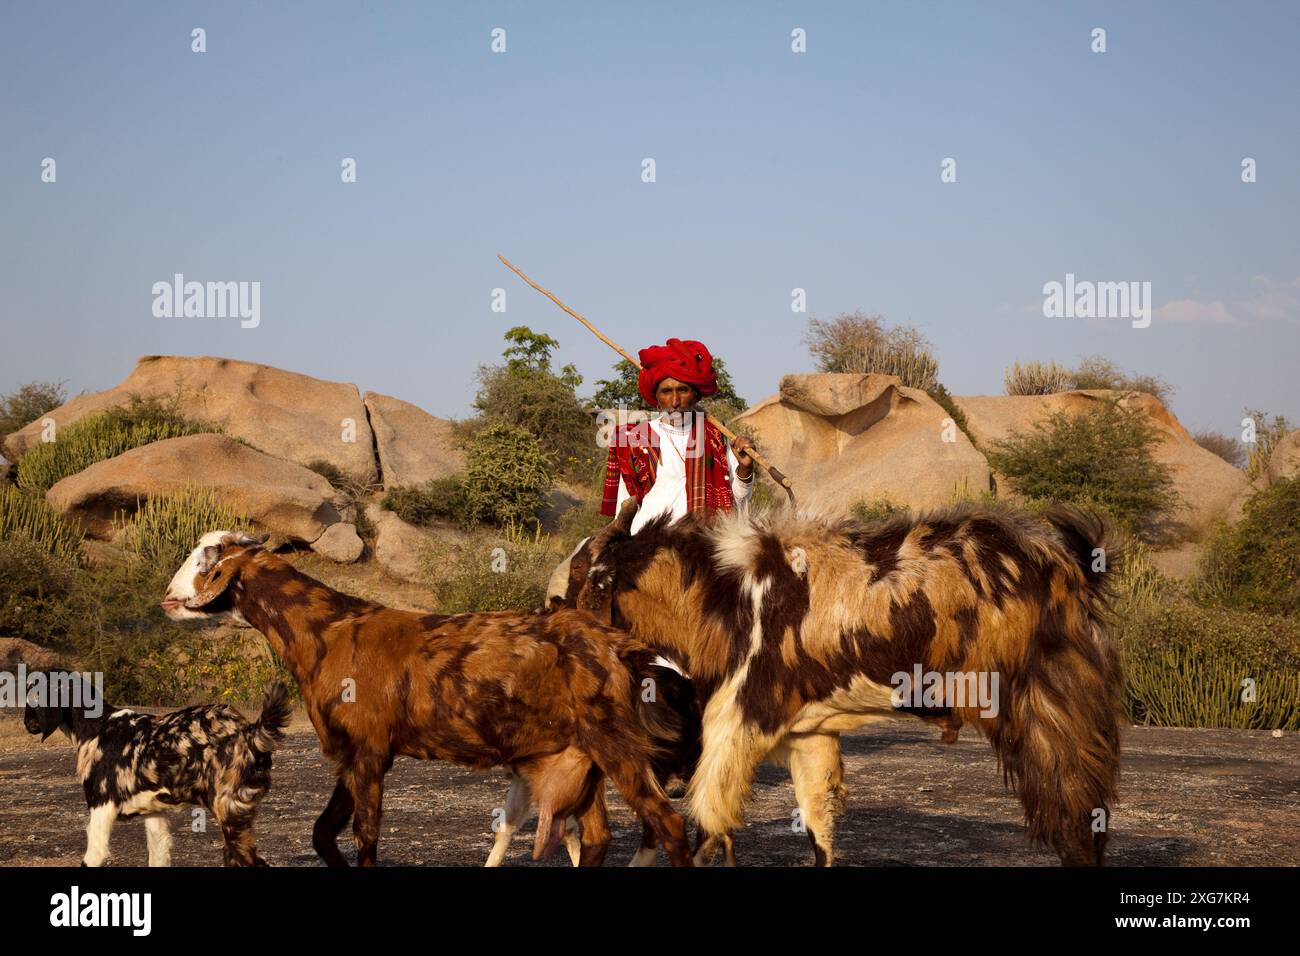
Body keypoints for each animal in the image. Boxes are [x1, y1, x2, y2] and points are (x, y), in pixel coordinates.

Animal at [24, 672, 289, 866]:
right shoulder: (154, 816)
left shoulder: (101, 809)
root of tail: (250, 731)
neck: (97, 727)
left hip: (231, 814)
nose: (27, 724)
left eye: (35, 696)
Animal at [162, 531, 693, 867]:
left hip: (615, 743)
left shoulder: (371, 752)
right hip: (582, 759)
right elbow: (322, 833)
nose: (168, 597)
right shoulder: (349, 752)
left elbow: (365, 837)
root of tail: (618, 645)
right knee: (598, 836)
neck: (329, 631)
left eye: (207, 558)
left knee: (668, 823)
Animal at [570, 499, 1125, 866]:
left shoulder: (740, 719)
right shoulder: (809, 734)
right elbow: (819, 825)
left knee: (1076, 823)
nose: (560, 624)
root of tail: (1072, 568)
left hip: (1052, 715)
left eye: (582, 578)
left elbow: (708, 822)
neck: (720, 593)